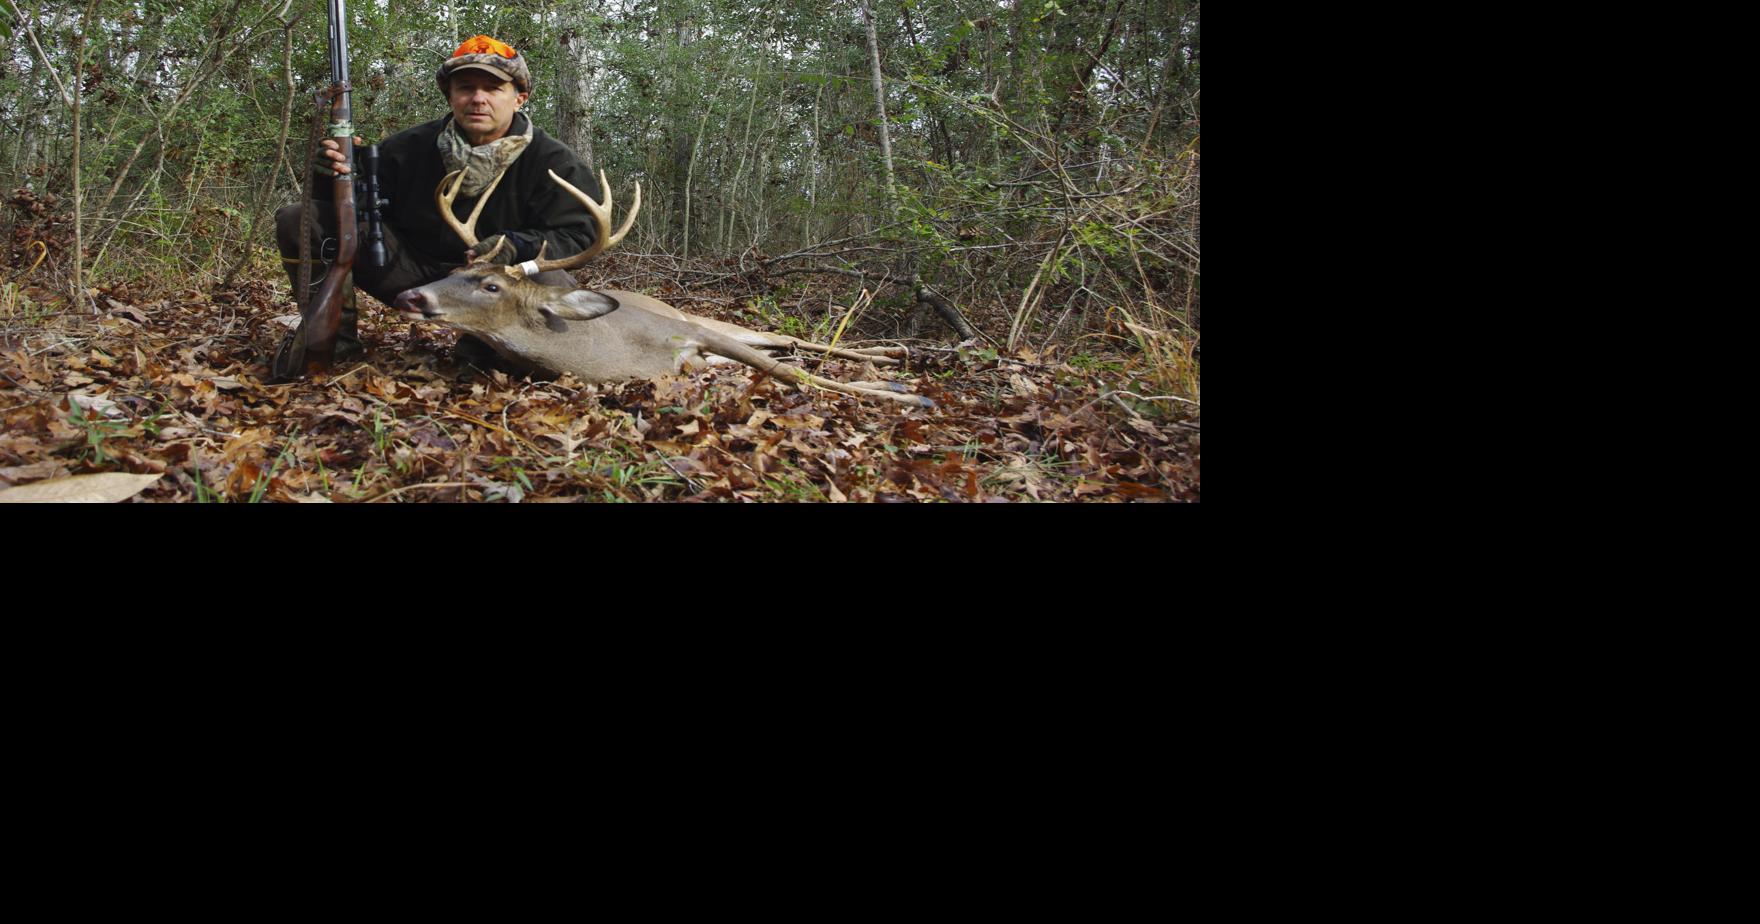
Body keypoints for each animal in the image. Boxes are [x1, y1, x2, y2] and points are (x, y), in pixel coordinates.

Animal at [392, 168, 932, 407]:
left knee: (789, 340)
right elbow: (780, 371)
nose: (410, 296)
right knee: (784, 346)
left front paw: (908, 397)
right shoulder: (696, 359)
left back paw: (896, 355)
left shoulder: (690, 335)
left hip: (708, 319)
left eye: (489, 286)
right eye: (451, 271)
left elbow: (793, 374)